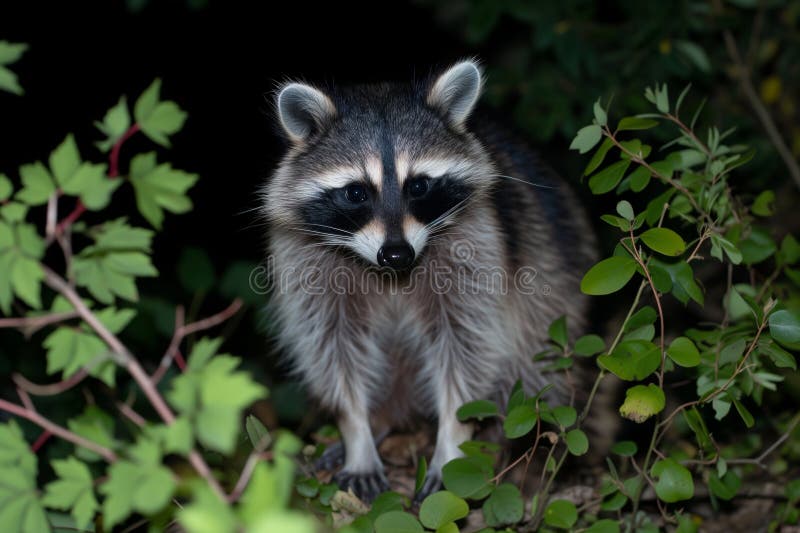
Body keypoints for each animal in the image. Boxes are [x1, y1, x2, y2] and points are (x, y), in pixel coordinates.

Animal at [261, 61, 597, 502]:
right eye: (356, 193)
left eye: (418, 185)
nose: (397, 254)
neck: (390, 273)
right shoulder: (307, 263)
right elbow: (332, 351)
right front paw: (356, 432)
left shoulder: (477, 249)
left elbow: (469, 349)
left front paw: (453, 442)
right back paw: (382, 419)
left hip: (556, 282)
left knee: (532, 358)